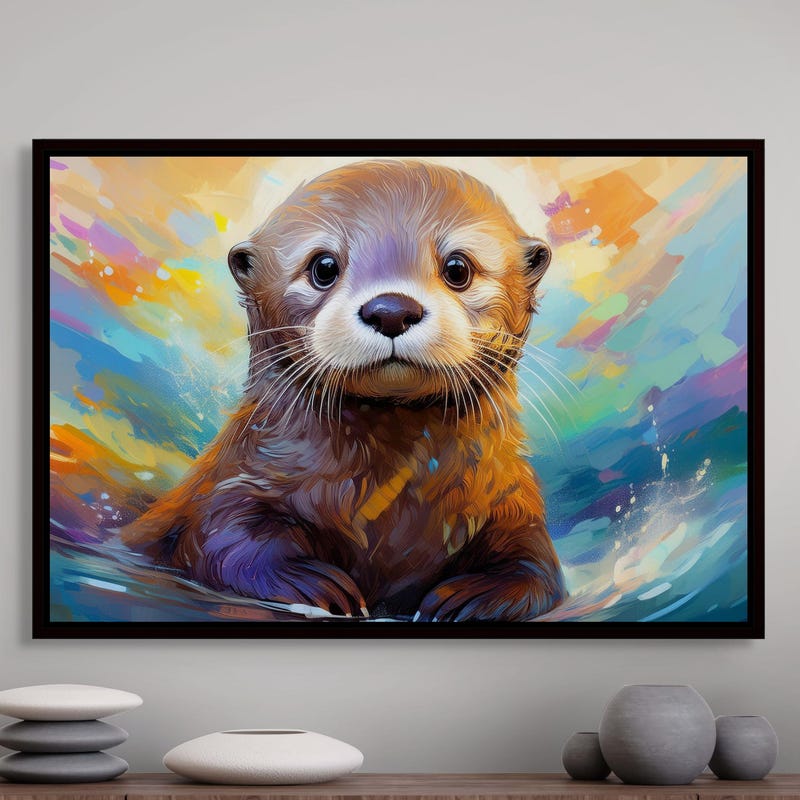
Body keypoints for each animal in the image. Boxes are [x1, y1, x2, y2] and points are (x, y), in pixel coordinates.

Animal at [121, 160, 566, 622]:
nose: (391, 309)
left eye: (458, 268)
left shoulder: (510, 499)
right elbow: (219, 536)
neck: (391, 510)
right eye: (323, 267)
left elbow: (536, 565)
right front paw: (312, 583)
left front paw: (471, 597)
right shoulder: (233, 479)